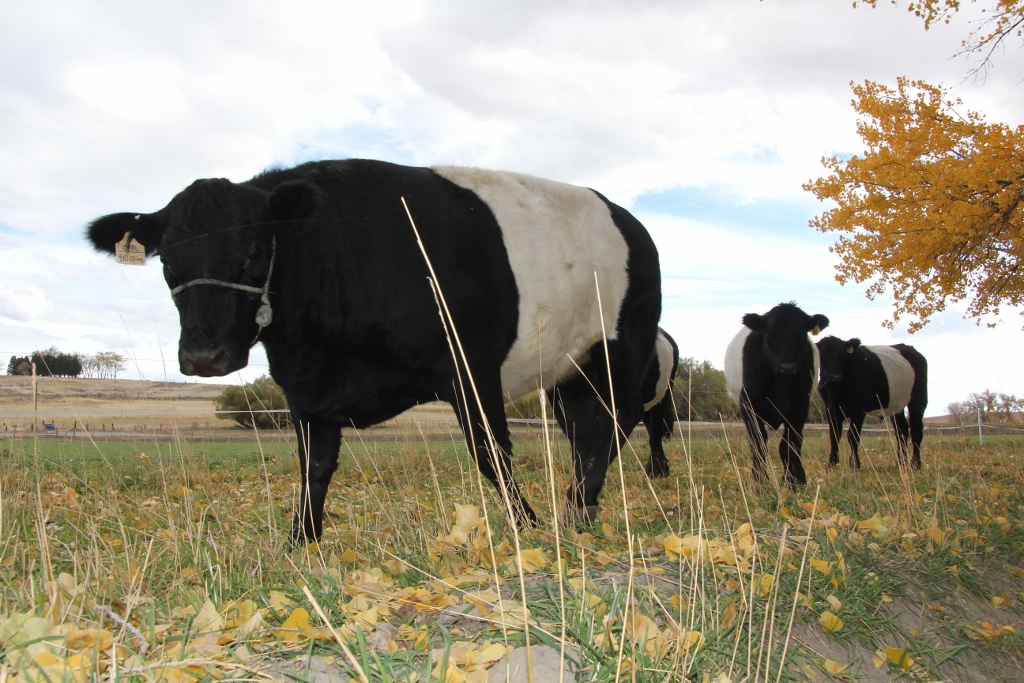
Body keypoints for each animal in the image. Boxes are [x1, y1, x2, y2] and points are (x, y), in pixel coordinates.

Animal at [86, 159, 661, 541]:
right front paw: (302, 541)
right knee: (586, 430)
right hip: (570, 373)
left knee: (620, 417)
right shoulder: (305, 390)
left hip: (623, 347)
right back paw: (580, 503)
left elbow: (491, 452)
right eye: (166, 260)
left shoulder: (470, 364)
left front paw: (528, 528)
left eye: (252, 250)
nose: (205, 357)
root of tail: (629, 220)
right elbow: (314, 466)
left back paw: (578, 509)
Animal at [724, 303, 828, 488]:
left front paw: (792, 482)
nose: (787, 367)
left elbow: (790, 445)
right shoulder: (748, 405)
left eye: (801, 334)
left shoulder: (800, 407)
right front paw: (759, 482)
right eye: (771, 334)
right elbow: (758, 444)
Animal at [815, 337, 928, 470]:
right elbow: (834, 436)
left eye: (842, 354)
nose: (836, 376)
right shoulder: (831, 409)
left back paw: (915, 464)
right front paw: (831, 464)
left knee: (916, 429)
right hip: (897, 405)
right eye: (823, 355)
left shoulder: (859, 410)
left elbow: (852, 436)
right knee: (902, 430)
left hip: (919, 400)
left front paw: (854, 465)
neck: (836, 390)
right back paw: (901, 462)